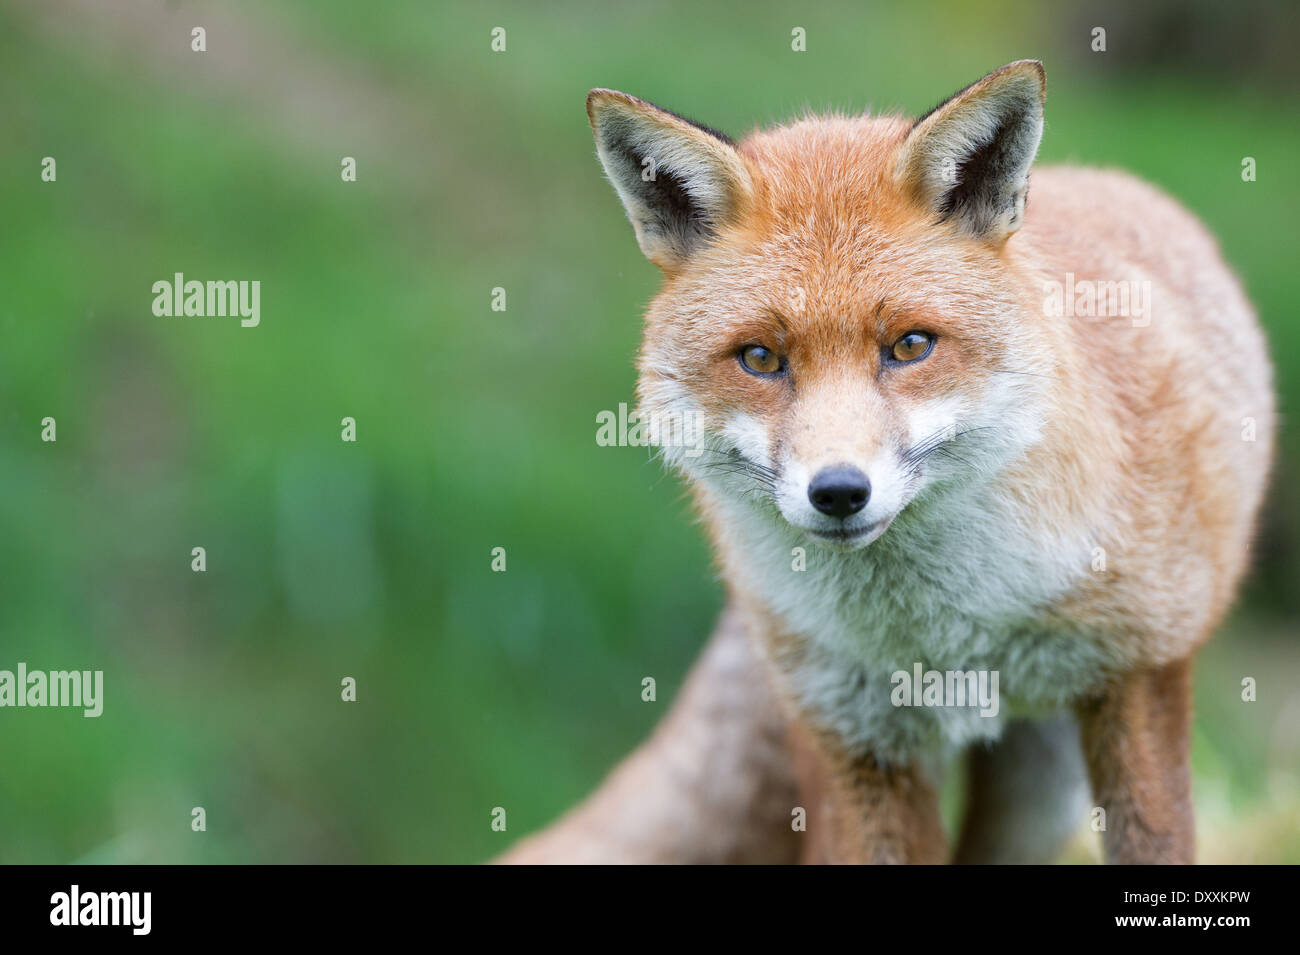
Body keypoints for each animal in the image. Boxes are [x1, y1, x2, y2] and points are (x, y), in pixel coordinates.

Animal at [502, 60, 1275, 864]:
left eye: (909, 345)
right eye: (760, 358)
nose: (839, 491)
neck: (941, 635)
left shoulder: (1143, 670)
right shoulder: (859, 740)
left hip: (1045, 788)